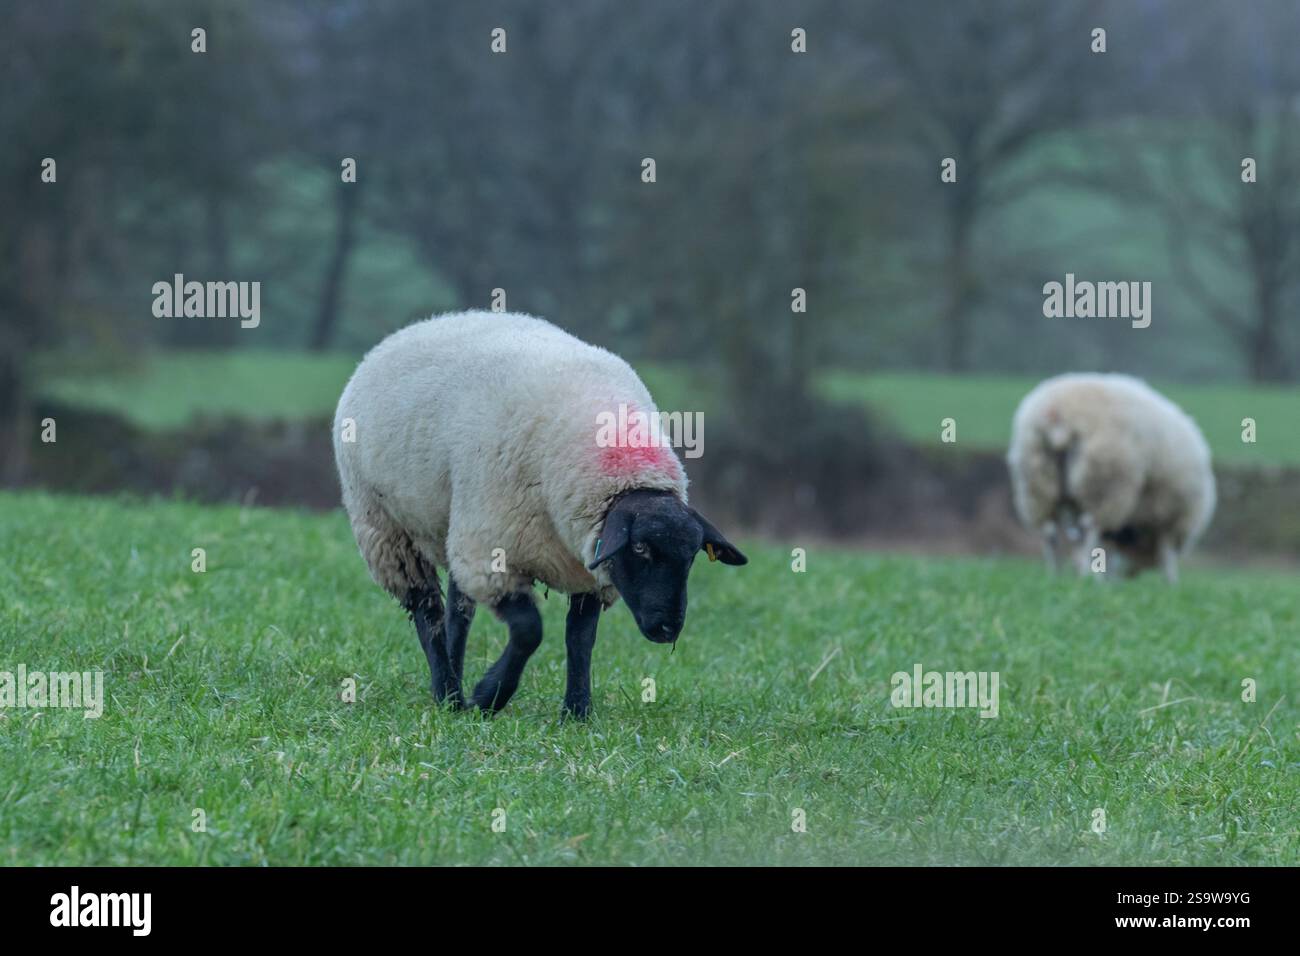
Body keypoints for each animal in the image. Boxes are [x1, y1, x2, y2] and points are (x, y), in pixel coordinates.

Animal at [333, 311, 746, 717]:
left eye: (691, 556)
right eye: (641, 548)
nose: (667, 630)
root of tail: (413, 328)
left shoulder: (588, 565)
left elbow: (580, 639)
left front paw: (576, 711)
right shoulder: (494, 553)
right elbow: (530, 630)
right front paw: (489, 696)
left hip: (459, 526)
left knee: (458, 613)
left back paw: (454, 684)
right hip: (390, 531)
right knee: (427, 612)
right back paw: (447, 693)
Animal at [1006, 373, 1215, 582]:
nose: (1128, 576)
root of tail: (1058, 417)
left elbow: (1109, 547)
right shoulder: (1171, 517)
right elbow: (1167, 553)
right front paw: (1171, 583)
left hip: (1038, 485)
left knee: (1051, 533)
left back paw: (1055, 577)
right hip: (1105, 484)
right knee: (1087, 530)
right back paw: (1086, 575)